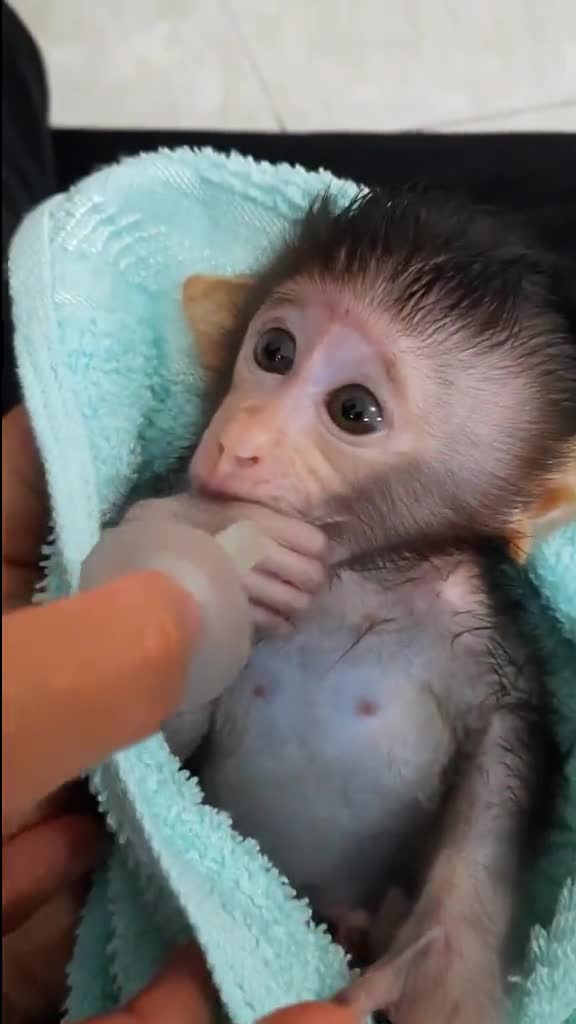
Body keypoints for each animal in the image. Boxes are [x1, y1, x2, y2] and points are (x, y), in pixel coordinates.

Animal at [172, 187, 576, 1024]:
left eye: (354, 410)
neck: (351, 578)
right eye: (274, 352)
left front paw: (446, 960)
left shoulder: (478, 631)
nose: (239, 442)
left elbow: (507, 744)